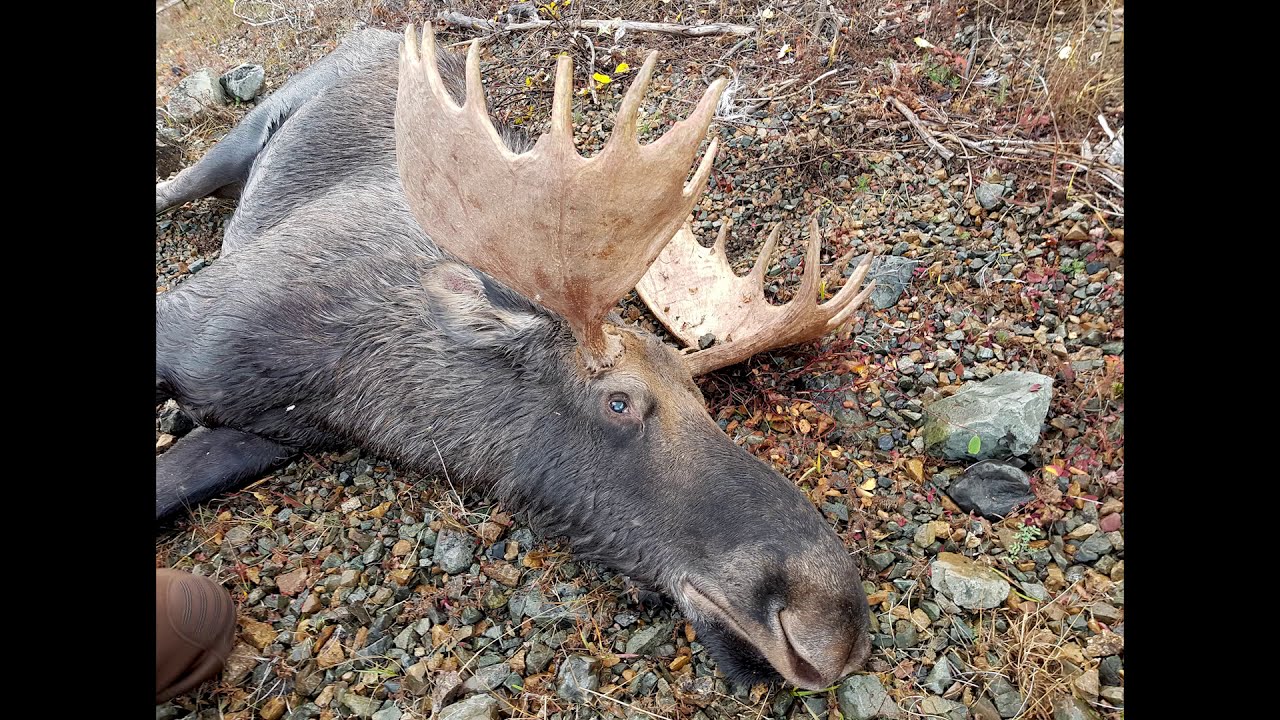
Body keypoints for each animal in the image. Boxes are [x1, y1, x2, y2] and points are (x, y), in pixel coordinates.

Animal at [155, 24, 880, 691]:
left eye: (704, 402)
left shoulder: (270, 431)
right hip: (251, 127)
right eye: (619, 400)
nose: (832, 617)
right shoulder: (186, 319)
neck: (360, 384)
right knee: (176, 183)